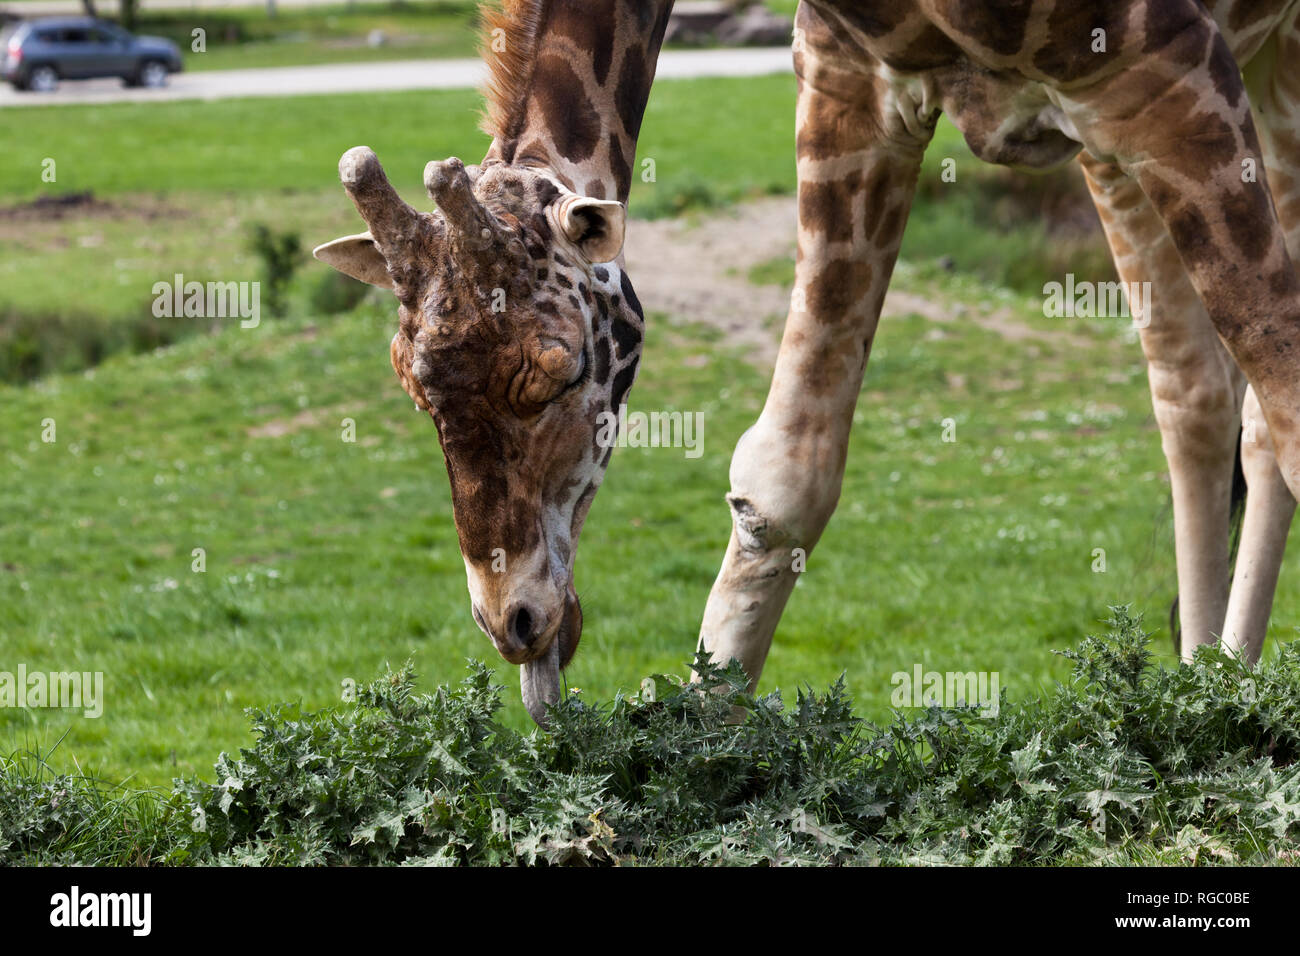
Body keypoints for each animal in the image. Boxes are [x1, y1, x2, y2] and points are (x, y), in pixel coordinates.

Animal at [698, 0, 1300, 685]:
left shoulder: (1172, 67)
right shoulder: (844, 77)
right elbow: (785, 479)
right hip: (1116, 146)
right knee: (1198, 393)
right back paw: (1217, 685)